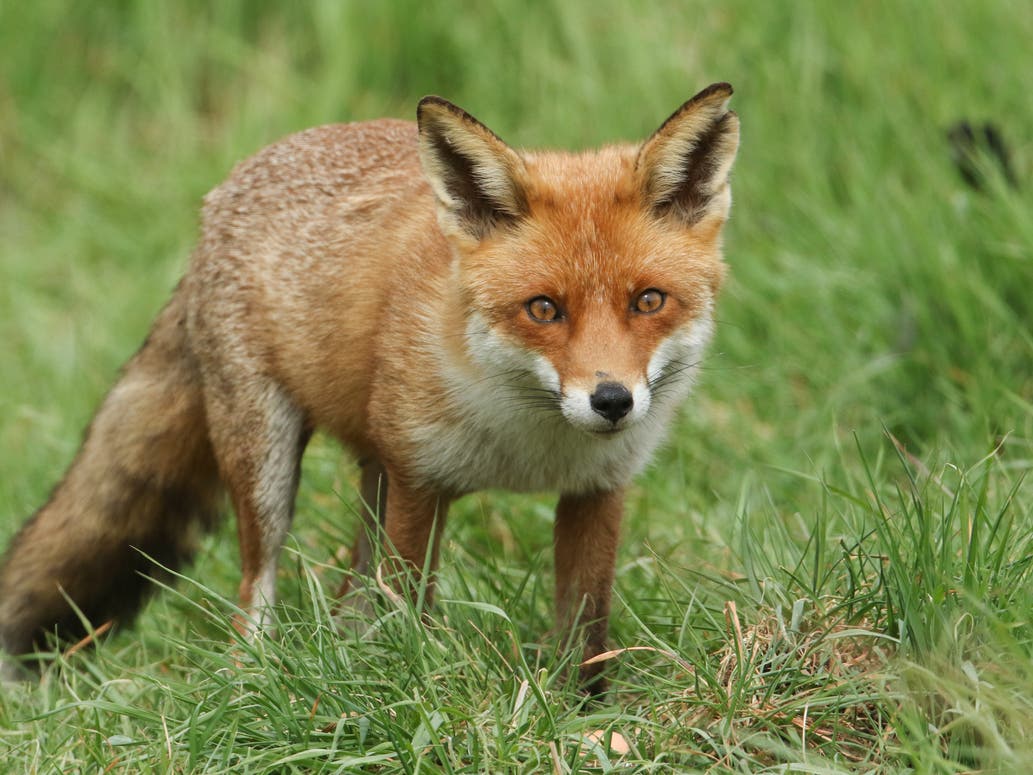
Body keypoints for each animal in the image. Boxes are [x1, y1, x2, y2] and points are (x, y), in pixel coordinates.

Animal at [0, 83, 739, 691]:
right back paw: (255, 679)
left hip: (371, 473)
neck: (527, 440)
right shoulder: (420, 480)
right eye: (543, 309)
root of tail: (228, 186)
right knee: (257, 588)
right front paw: (416, 688)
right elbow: (410, 605)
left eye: (648, 301)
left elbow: (586, 632)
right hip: (269, 465)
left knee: (350, 595)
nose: (611, 400)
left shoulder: (596, 489)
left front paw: (581, 715)